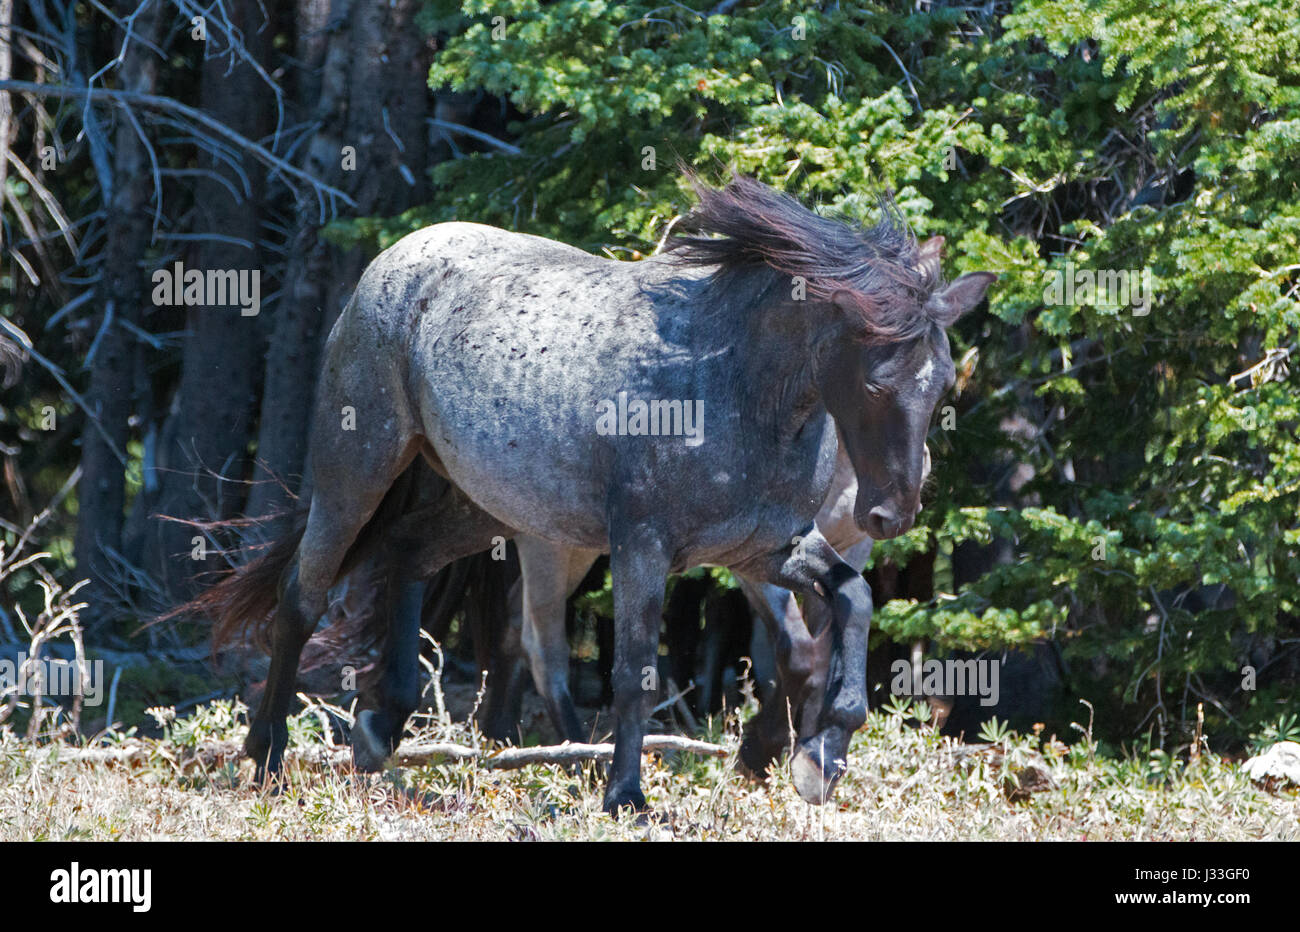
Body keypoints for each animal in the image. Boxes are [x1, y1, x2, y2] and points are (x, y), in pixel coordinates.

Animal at [198, 173, 993, 812]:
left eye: (940, 384)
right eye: (874, 382)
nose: (890, 513)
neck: (732, 385)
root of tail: (393, 262)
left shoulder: (764, 548)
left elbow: (846, 608)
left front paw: (820, 757)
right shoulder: (643, 546)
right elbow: (635, 672)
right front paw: (626, 798)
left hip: (483, 504)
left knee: (406, 555)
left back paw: (377, 726)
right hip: (360, 468)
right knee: (305, 594)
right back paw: (266, 759)